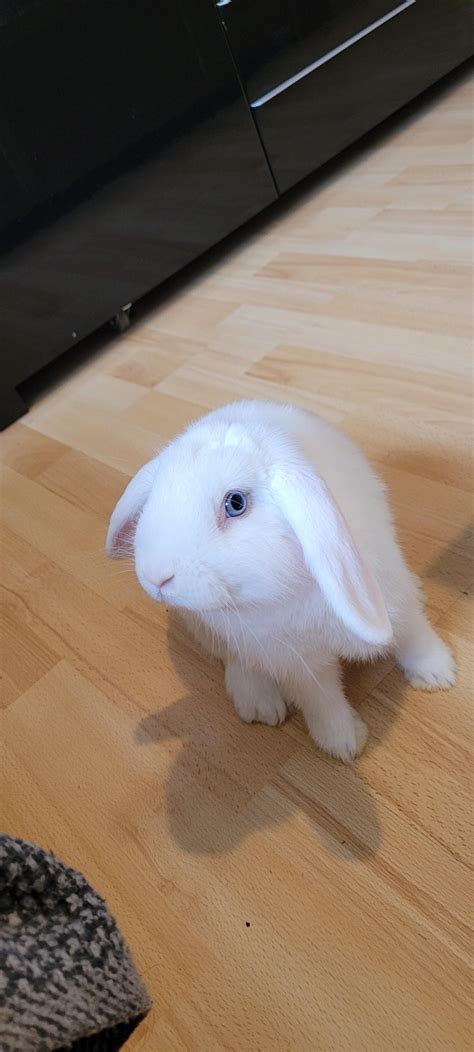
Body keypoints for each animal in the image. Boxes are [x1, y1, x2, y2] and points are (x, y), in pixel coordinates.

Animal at [106, 400, 455, 761]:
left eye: (235, 503)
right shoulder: (297, 663)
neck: (287, 590)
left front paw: (437, 674)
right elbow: (322, 699)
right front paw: (343, 743)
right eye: (156, 495)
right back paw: (260, 704)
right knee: (235, 658)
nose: (155, 576)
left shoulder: (394, 601)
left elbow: (414, 637)